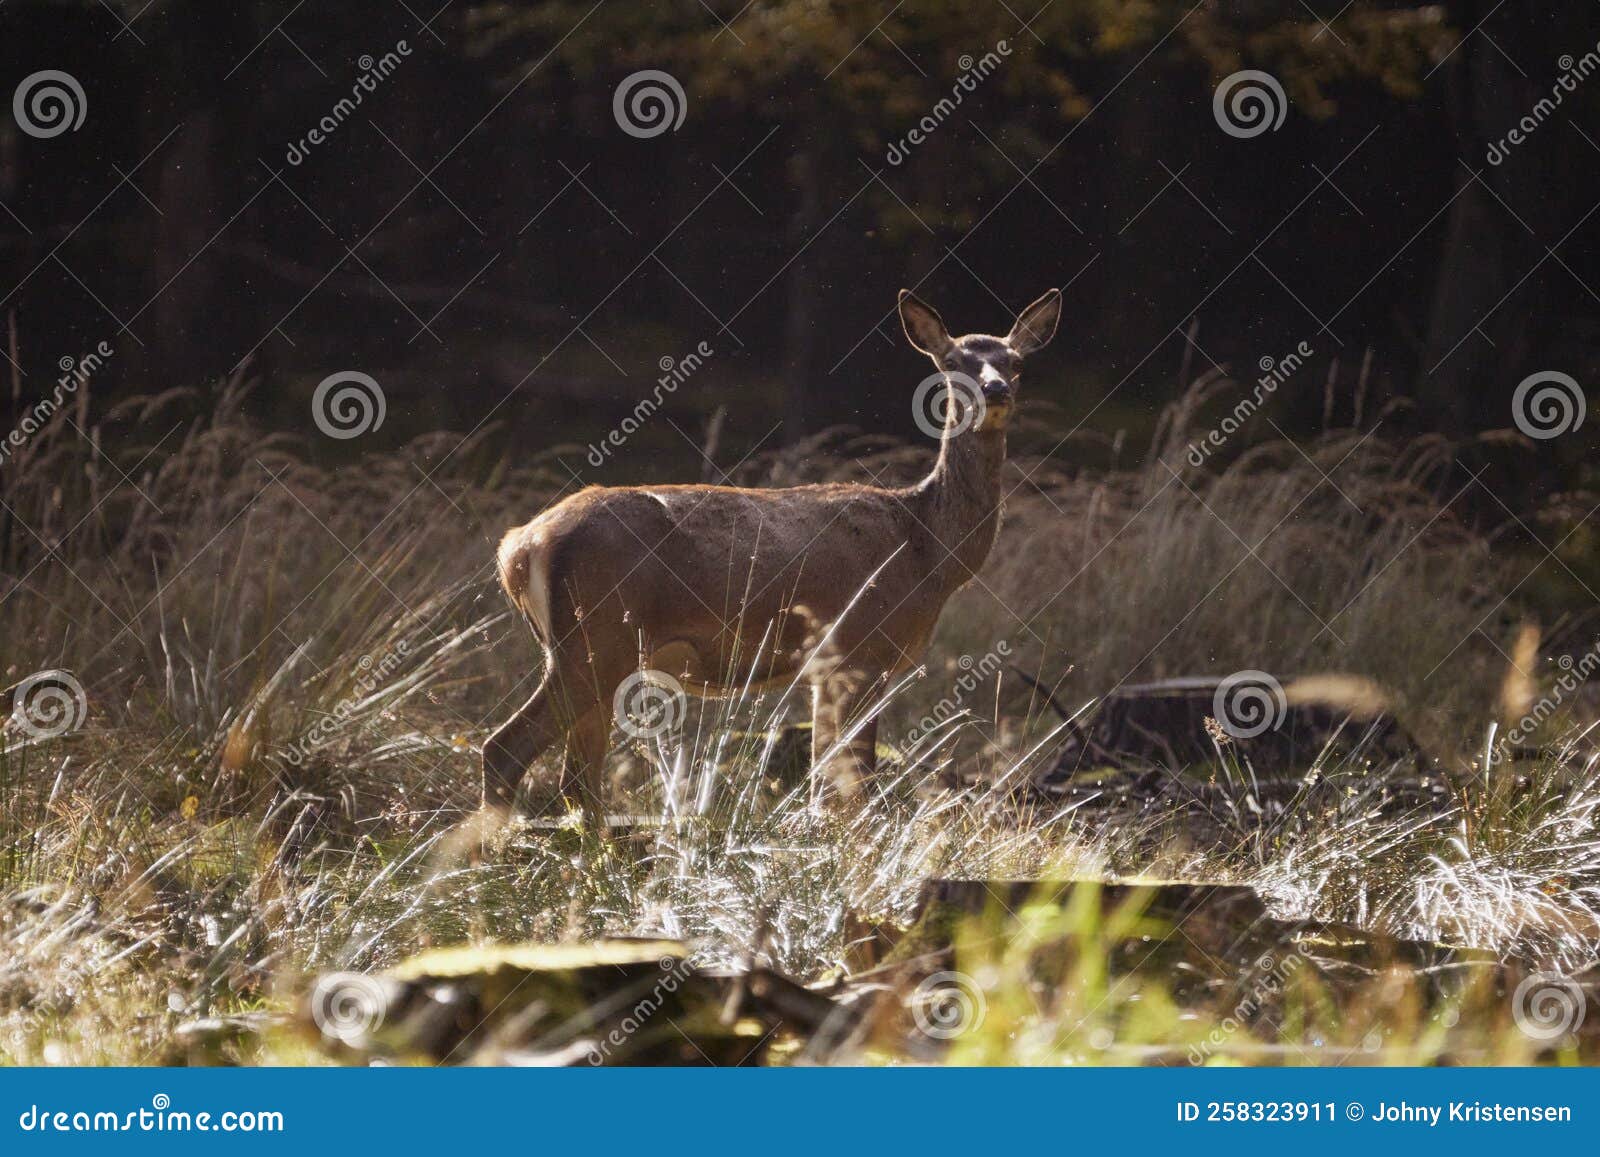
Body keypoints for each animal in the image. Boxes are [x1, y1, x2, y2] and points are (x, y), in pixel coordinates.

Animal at [483, 288, 1062, 825]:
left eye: (1016, 361)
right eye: (953, 362)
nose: (995, 389)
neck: (929, 552)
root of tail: (518, 547)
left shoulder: (826, 667)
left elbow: (826, 780)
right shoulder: (861, 648)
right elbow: (854, 781)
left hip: (591, 649)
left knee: (577, 780)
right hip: (596, 637)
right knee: (506, 749)